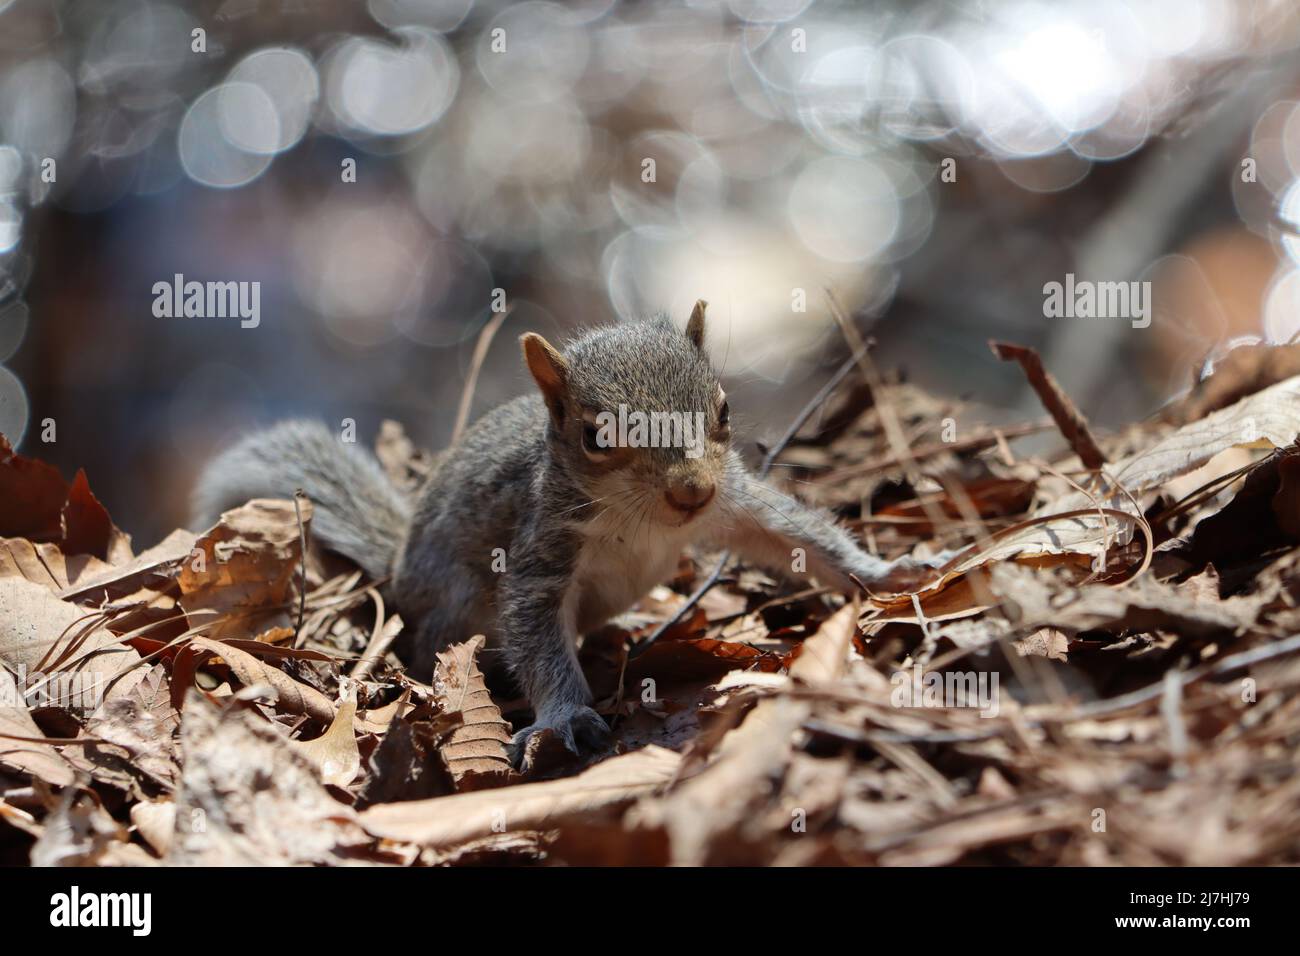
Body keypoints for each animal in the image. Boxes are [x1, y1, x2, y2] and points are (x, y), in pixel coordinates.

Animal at [192, 302, 950, 765]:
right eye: (597, 436)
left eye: (725, 409)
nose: (691, 491)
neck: (640, 520)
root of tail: (400, 570)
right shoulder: (541, 547)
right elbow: (535, 630)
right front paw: (563, 717)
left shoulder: (735, 505)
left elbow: (798, 537)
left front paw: (888, 572)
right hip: (450, 608)